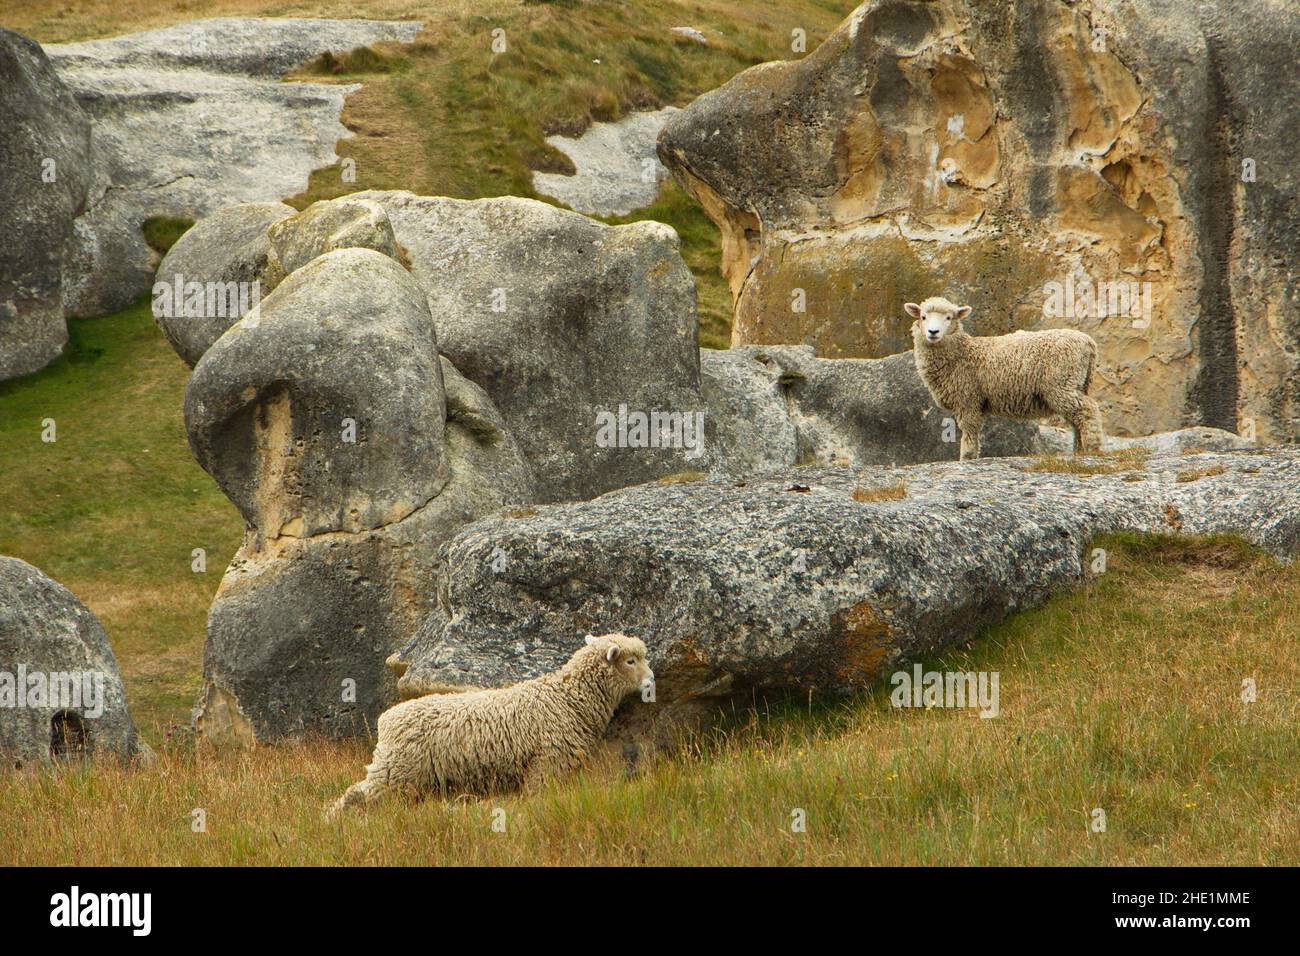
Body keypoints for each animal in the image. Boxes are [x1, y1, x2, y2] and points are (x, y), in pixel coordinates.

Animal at [329, 633, 653, 814]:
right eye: (631, 661)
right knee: (358, 794)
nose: (651, 681)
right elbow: (539, 797)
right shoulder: (547, 761)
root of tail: (387, 719)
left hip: (401, 772)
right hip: (398, 770)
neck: (568, 698)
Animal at [906, 296, 1103, 459]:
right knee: (1077, 419)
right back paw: (1079, 451)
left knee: (1087, 411)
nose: (933, 332)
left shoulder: (968, 399)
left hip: (1061, 383)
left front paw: (966, 458)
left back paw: (1093, 448)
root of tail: (1088, 342)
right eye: (923, 317)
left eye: (949, 318)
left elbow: (969, 433)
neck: (962, 353)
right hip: (1074, 384)